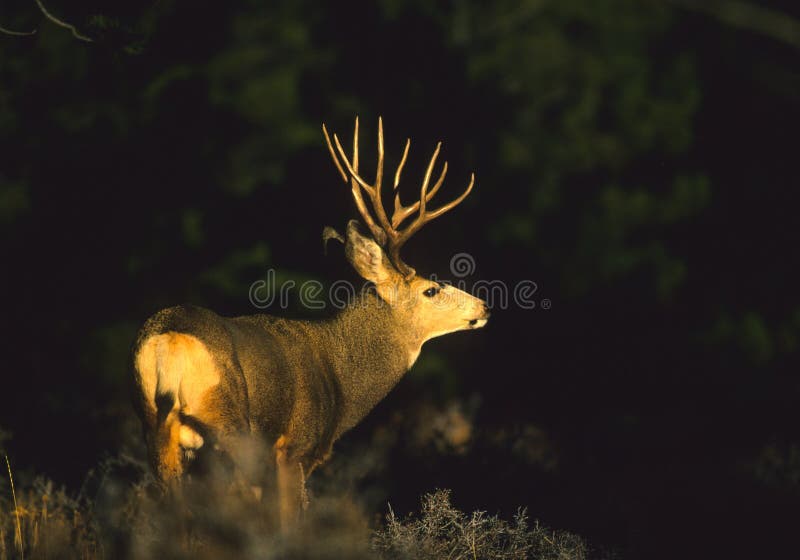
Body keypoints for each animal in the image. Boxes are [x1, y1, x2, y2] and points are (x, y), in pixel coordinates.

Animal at [130, 116, 490, 530]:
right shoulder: (296, 447)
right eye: (431, 290)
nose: (484, 306)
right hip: (229, 423)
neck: (340, 376)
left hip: (155, 428)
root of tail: (169, 340)